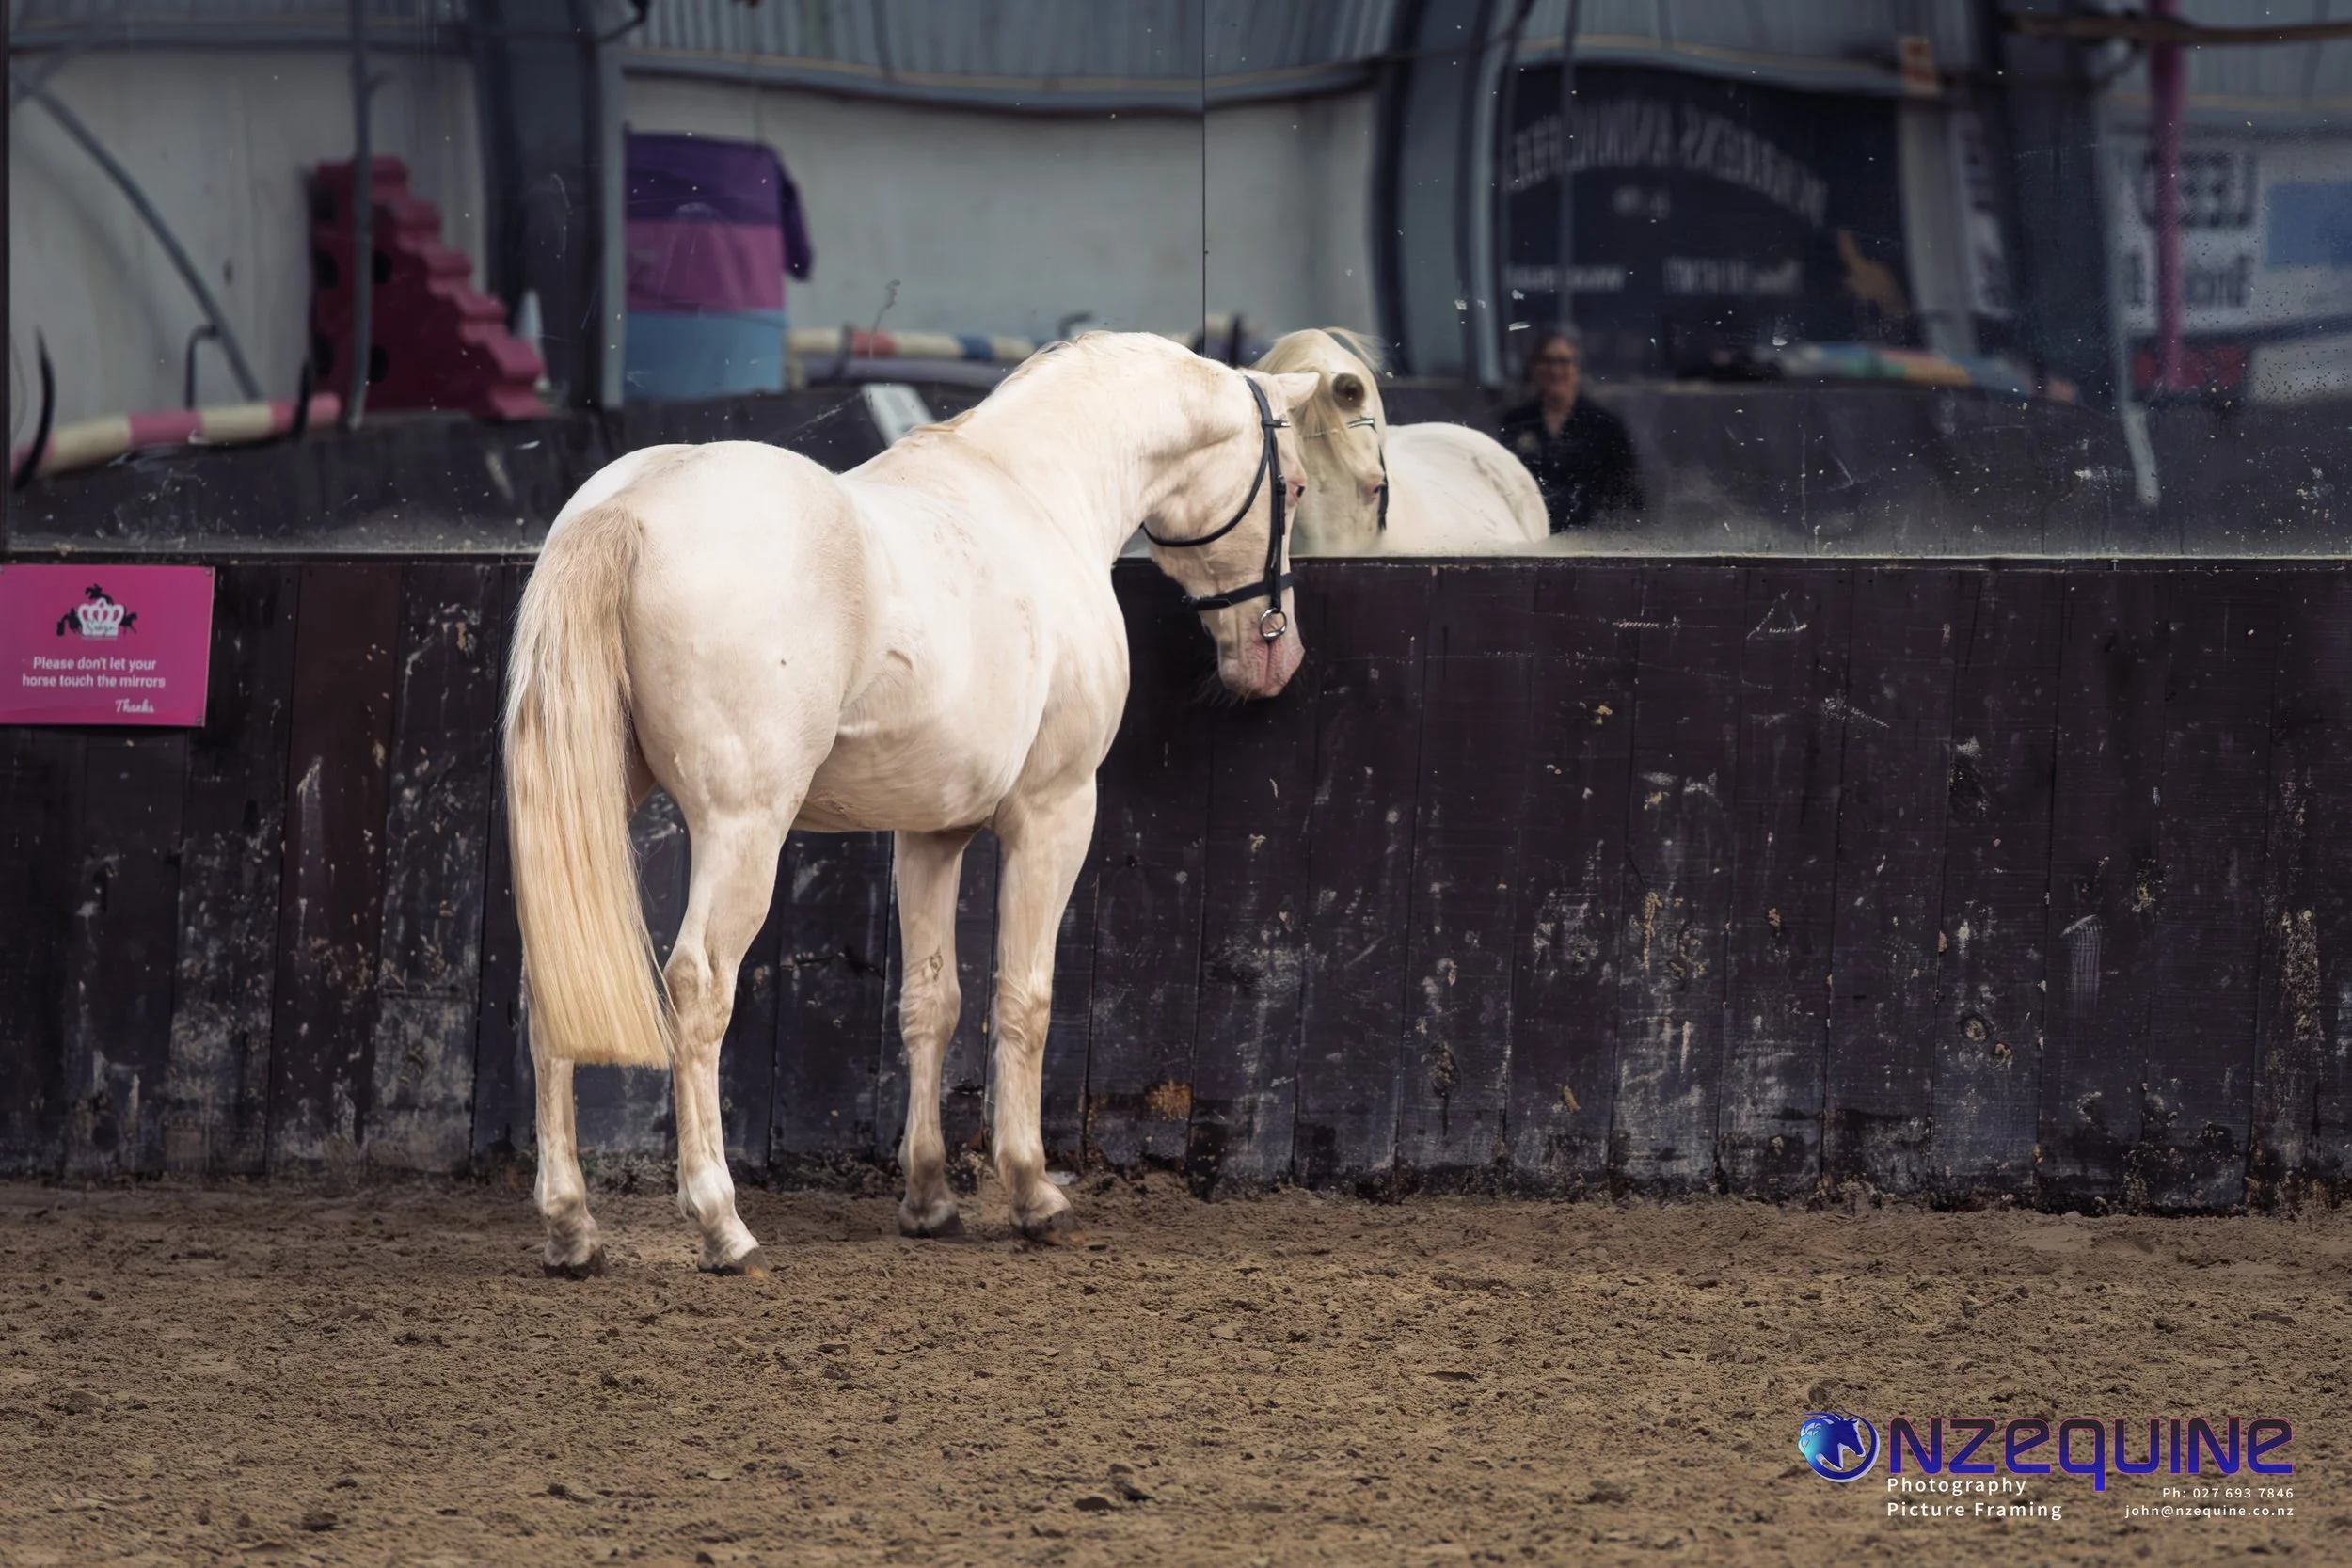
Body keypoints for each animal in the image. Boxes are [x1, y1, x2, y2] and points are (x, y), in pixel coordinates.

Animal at [502, 332, 1321, 1277]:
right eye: (1298, 486)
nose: (1276, 656)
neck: (1033, 493)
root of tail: (629, 509)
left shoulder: (931, 833)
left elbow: (932, 1001)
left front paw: (928, 1196)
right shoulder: (1054, 811)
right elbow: (1024, 997)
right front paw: (1033, 1192)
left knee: (554, 979)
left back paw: (570, 1225)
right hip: (743, 829)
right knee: (700, 988)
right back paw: (721, 1221)